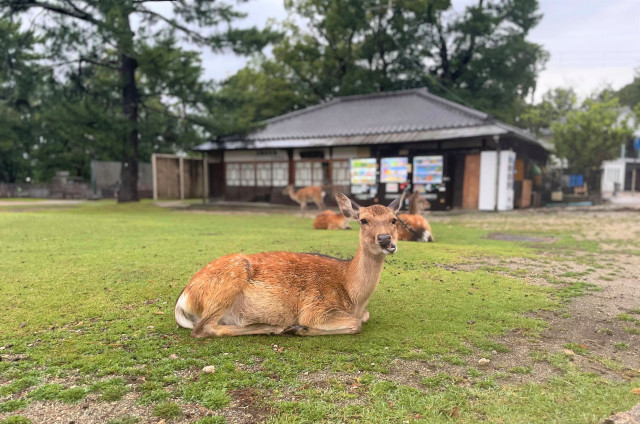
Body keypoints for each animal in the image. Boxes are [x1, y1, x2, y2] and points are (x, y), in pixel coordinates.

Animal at [174, 193, 402, 337]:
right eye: (363, 220)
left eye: (394, 219)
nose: (385, 240)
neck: (354, 297)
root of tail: (184, 297)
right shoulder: (316, 308)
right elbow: (356, 324)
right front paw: (300, 329)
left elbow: (363, 319)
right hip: (227, 284)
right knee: (201, 329)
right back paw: (273, 328)